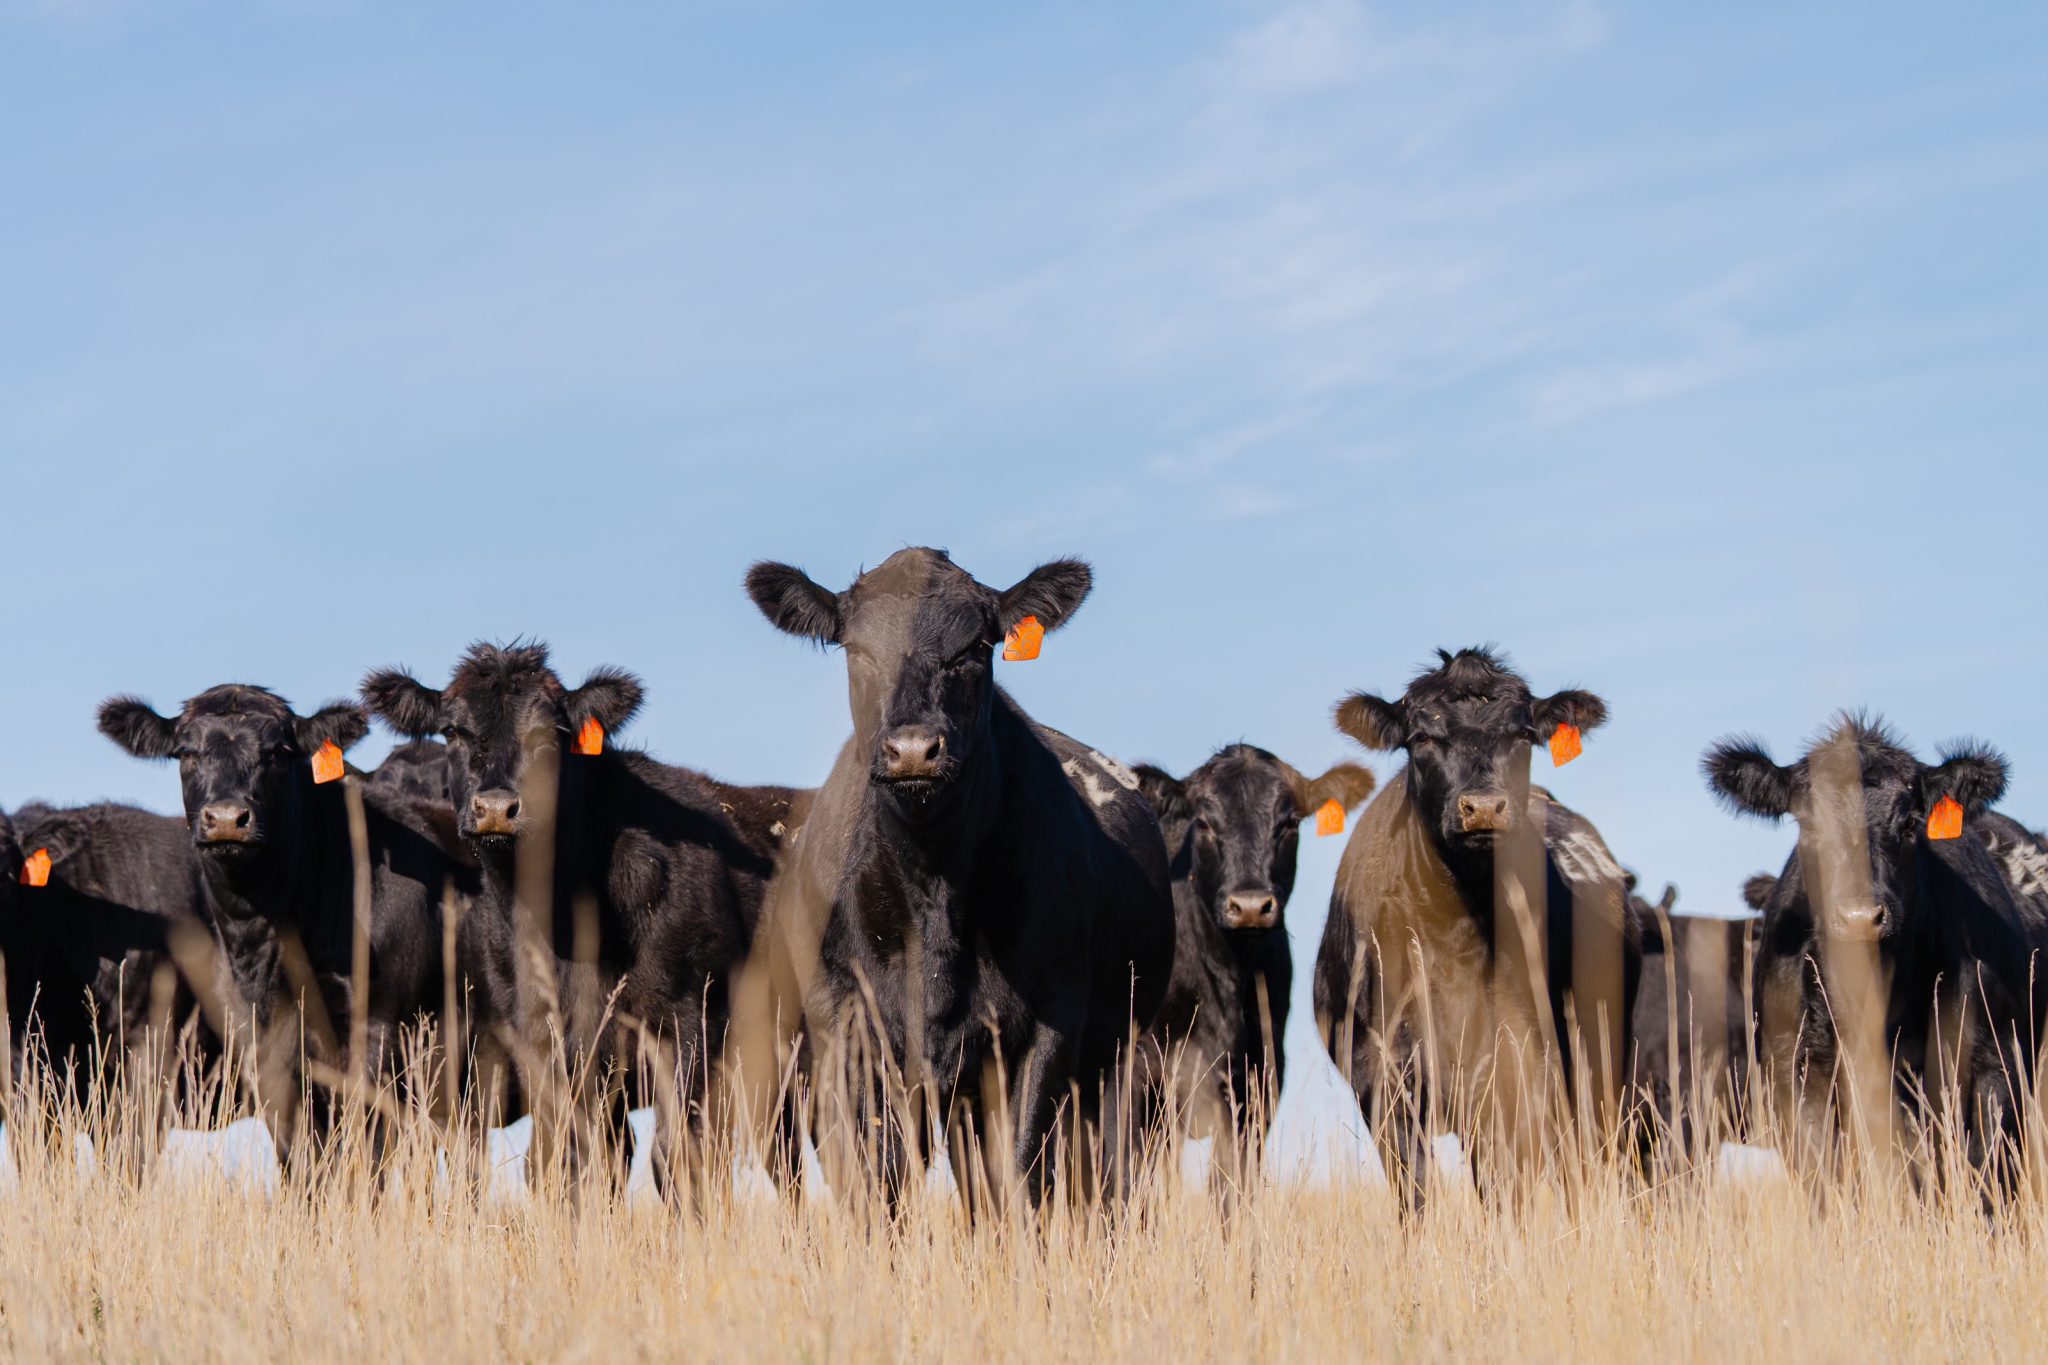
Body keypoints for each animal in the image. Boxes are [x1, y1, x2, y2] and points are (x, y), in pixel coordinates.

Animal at [360, 642, 802, 1199]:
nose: (496, 808)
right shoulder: (545, 1042)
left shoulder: (690, 1024)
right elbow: (573, 1158)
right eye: (453, 731)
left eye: (550, 733)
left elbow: (675, 1155)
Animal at [742, 548, 1175, 1207]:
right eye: (856, 649)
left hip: (1117, 1062)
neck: (933, 895)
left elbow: (1023, 1178)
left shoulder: (1048, 1026)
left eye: (975, 648)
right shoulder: (848, 1030)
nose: (913, 750)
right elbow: (881, 1184)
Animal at [1312, 646, 1638, 1202]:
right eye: (1421, 737)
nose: (1483, 807)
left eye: (1523, 735)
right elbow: (1416, 1191)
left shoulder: (1514, 1071)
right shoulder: (1381, 1080)